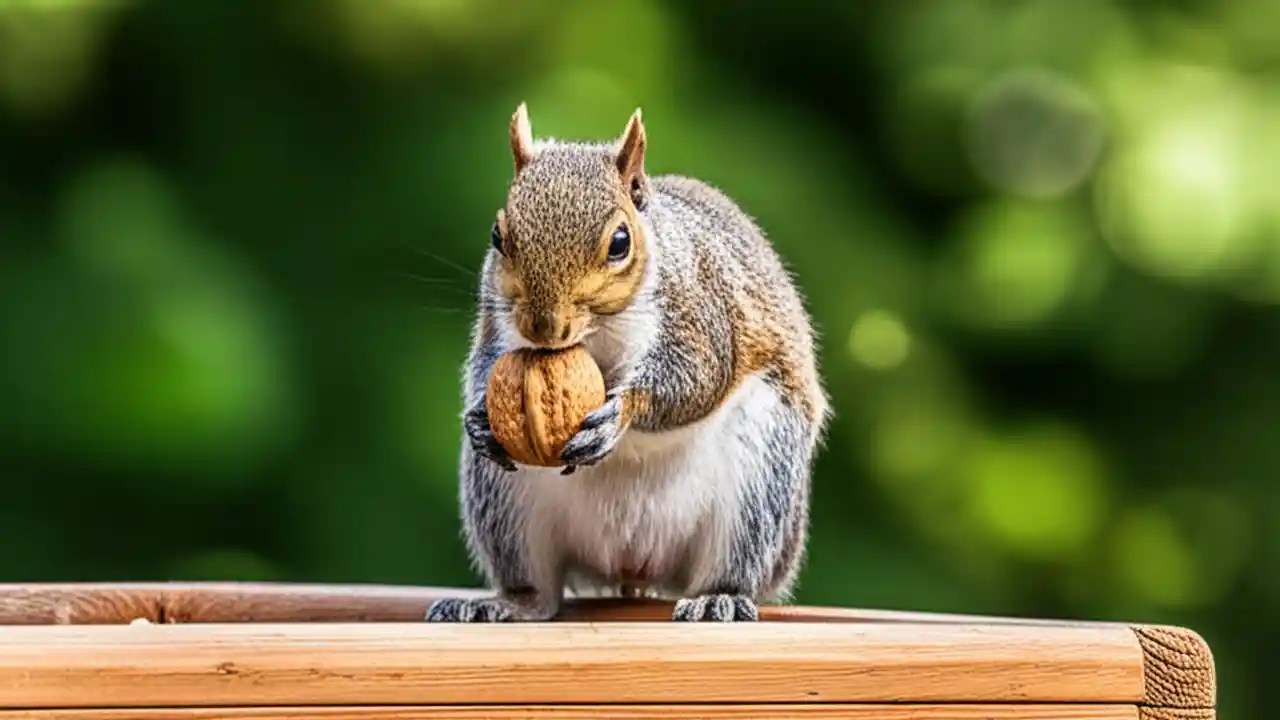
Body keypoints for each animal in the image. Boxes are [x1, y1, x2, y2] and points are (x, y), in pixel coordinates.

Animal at [427, 104, 829, 623]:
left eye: (620, 242)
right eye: (498, 236)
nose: (543, 328)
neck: (597, 334)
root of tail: (633, 565)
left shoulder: (701, 312)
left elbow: (696, 379)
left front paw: (618, 414)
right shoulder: (496, 323)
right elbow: (482, 365)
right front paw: (479, 416)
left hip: (760, 478)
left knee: (734, 564)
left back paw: (718, 598)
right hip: (503, 501)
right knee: (539, 591)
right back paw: (508, 603)